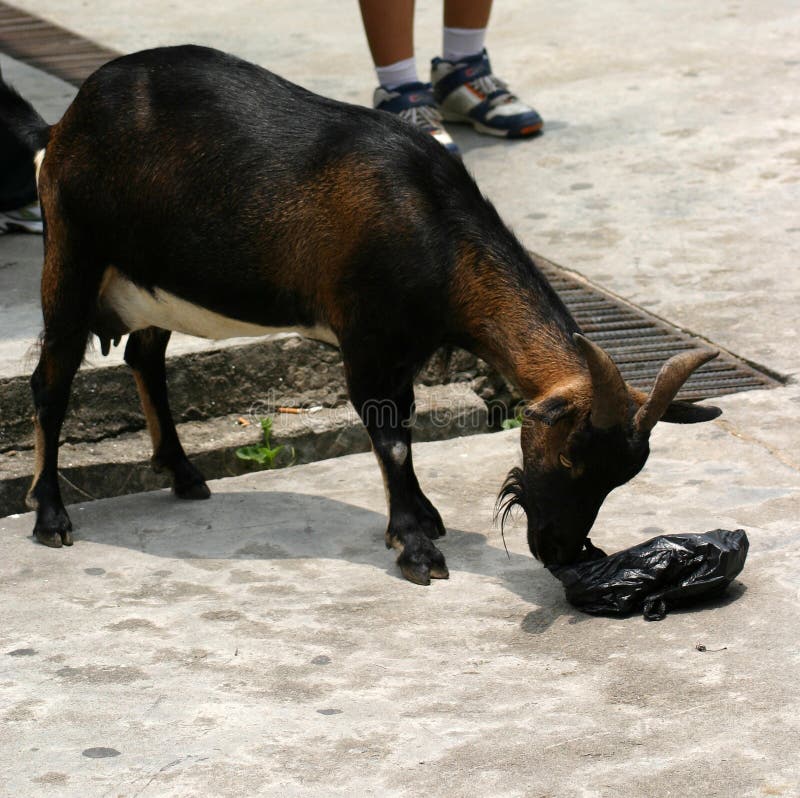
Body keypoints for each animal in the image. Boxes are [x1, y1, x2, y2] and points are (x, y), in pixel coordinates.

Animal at [0, 45, 720, 584]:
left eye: (623, 476)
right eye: (570, 455)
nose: (560, 550)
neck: (430, 221)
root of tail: (62, 127)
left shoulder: (406, 350)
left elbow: (404, 427)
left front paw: (424, 517)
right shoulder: (367, 338)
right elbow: (390, 436)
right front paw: (417, 549)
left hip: (154, 279)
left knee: (143, 356)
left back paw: (182, 473)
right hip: (73, 251)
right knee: (50, 380)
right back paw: (51, 515)